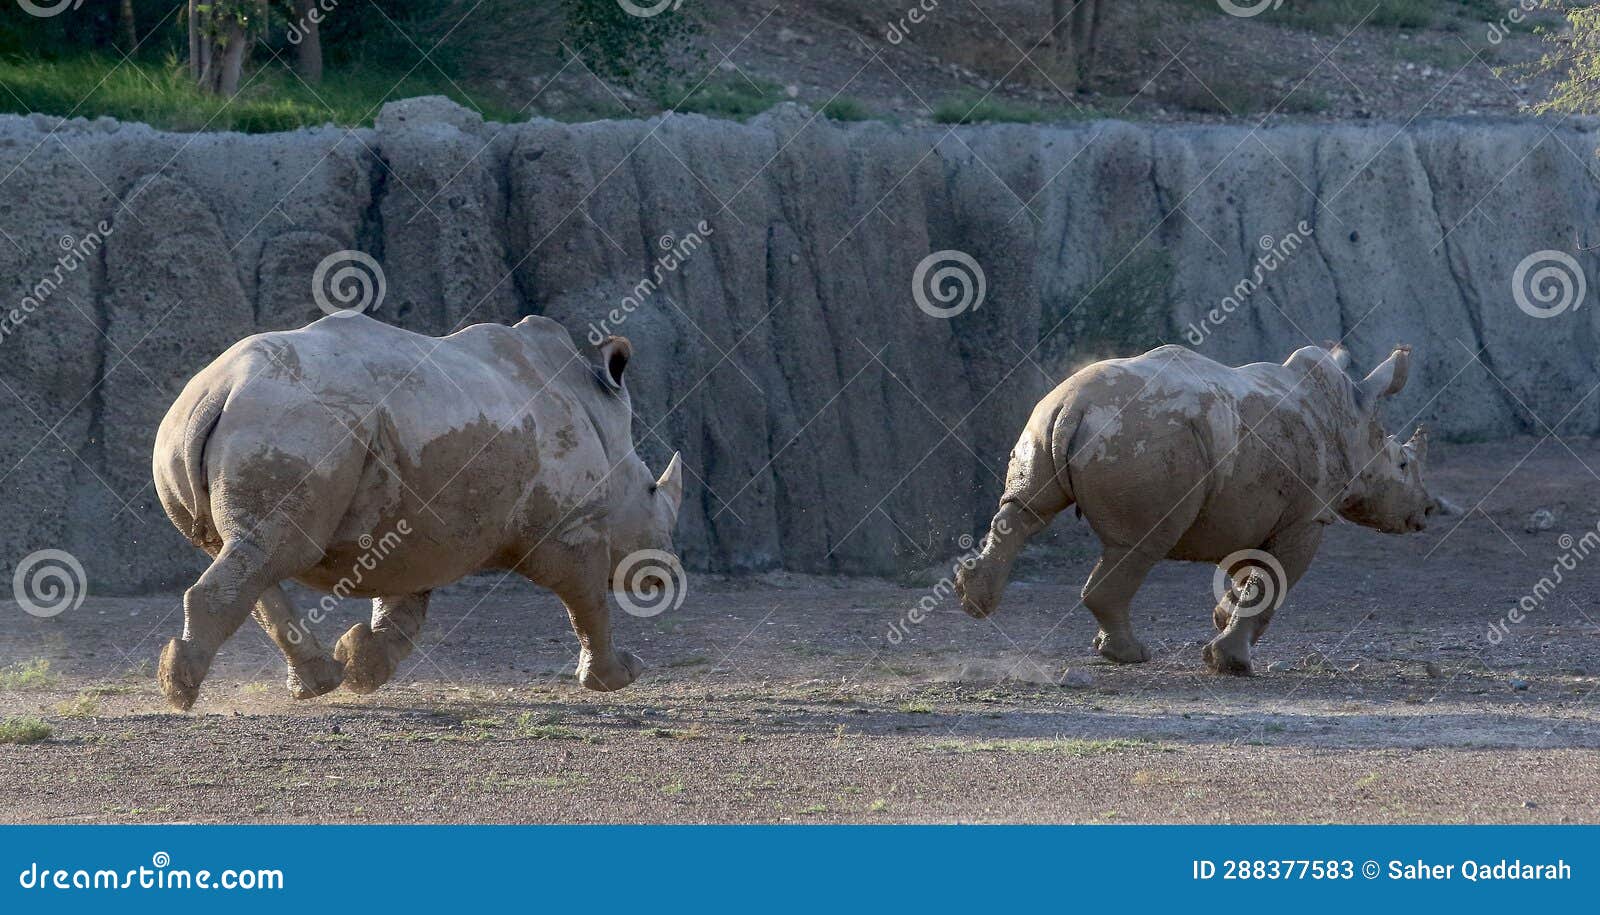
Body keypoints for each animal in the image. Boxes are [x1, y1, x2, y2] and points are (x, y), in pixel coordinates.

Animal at [152, 314, 683, 711]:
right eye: (653, 492)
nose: (664, 576)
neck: (605, 430)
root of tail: (216, 391)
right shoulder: (572, 527)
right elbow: (588, 601)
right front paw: (619, 675)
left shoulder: (418, 530)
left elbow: (402, 613)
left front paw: (363, 667)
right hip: (297, 422)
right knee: (270, 551)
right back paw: (181, 691)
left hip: (223, 429)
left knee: (249, 554)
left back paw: (315, 681)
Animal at [954, 343, 1440, 675]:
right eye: (1402, 464)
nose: (1426, 513)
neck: (1353, 418)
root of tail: (1078, 405)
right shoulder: (1306, 517)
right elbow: (1271, 582)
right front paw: (1233, 663)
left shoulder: (1249, 505)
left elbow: (1249, 577)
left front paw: (1223, 620)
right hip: (1151, 437)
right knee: (1140, 545)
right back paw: (1131, 655)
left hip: (1047, 417)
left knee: (1024, 509)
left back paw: (974, 600)